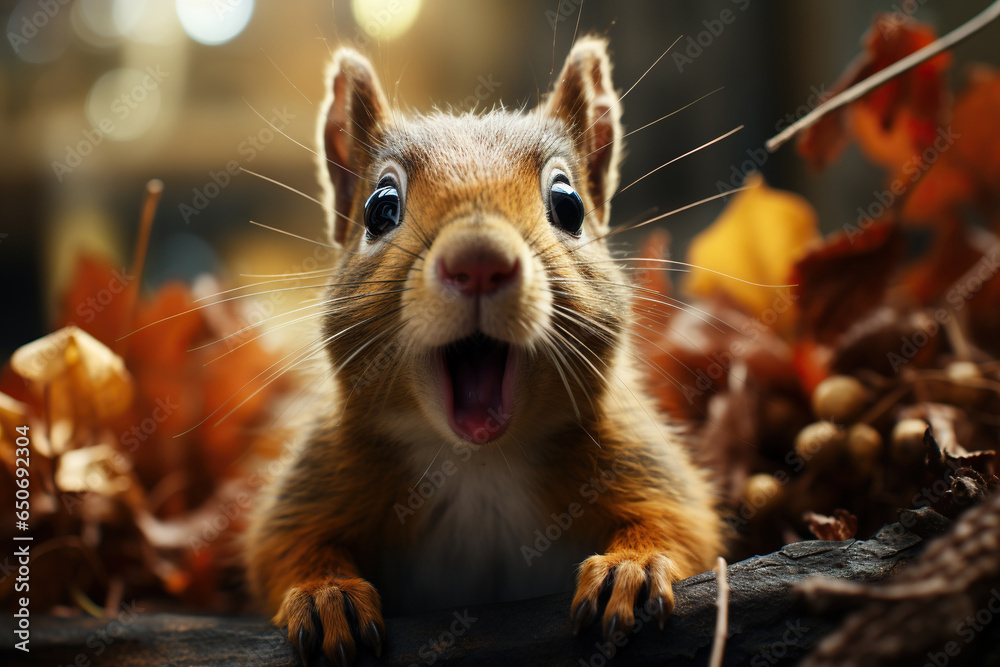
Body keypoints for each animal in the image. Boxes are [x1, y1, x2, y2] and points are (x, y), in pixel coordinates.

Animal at [245, 36, 724, 665]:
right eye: (380, 209)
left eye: (569, 205)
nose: (478, 259)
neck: (478, 462)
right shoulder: (319, 474)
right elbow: (285, 545)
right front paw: (326, 595)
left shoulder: (641, 459)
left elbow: (681, 523)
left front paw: (633, 568)